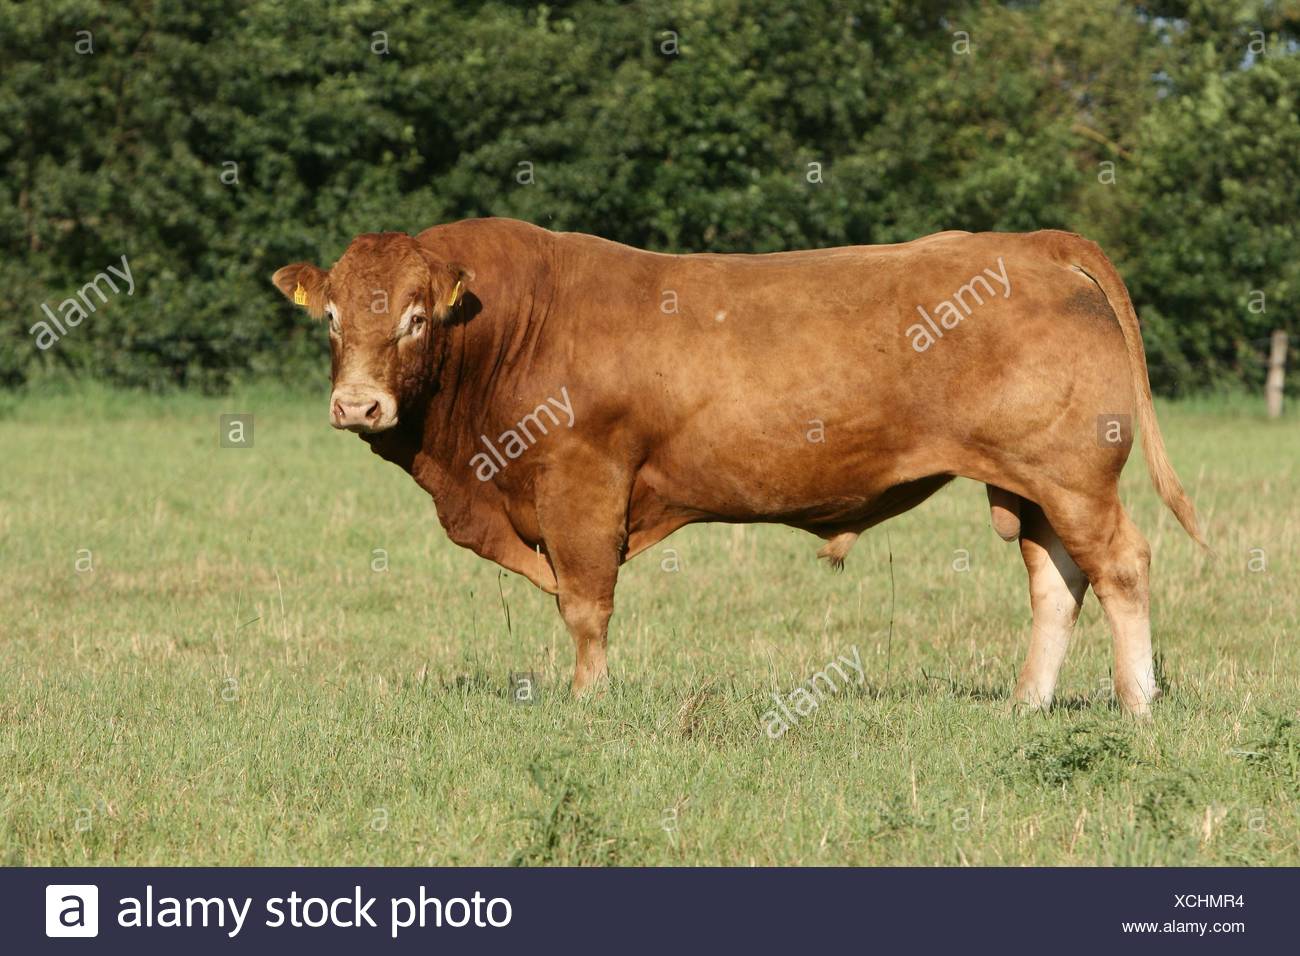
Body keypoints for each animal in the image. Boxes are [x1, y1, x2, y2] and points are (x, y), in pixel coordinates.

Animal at [272, 218, 1205, 717]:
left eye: (415, 319)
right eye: (330, 318)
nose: (358, 406)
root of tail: (1029, 241)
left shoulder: (583, 481)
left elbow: (585, 604)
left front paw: (588, 700)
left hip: (1074, 475)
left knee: (1121, 567)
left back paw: (1137, 704)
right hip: (1030, 484)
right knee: (1057, 579)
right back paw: (1027, 702)